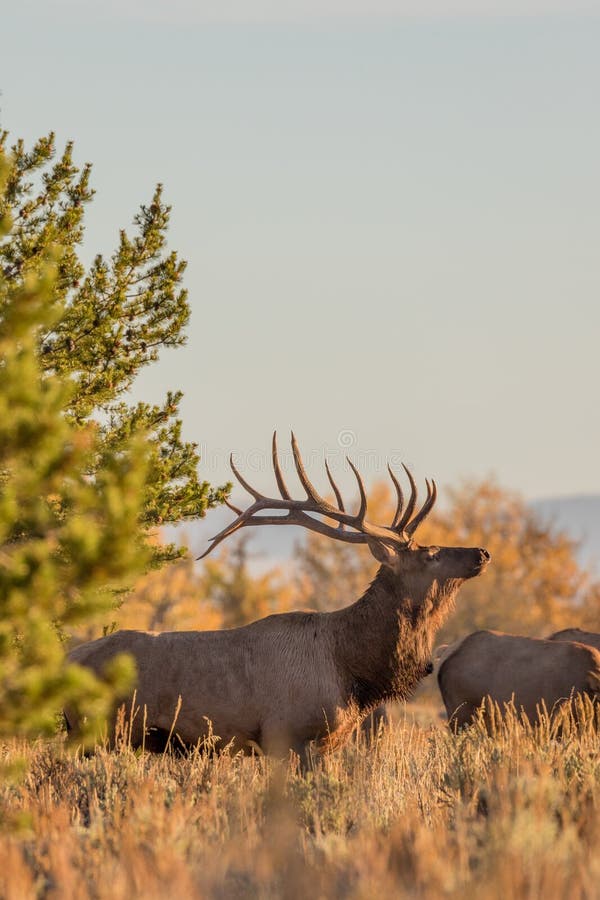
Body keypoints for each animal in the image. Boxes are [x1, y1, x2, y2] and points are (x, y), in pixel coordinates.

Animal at [66, 433, 490, 766]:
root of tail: (67, 659)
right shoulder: (289, 735)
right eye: (430, 554)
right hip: (98, 733)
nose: (482, 553)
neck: (353, 670)